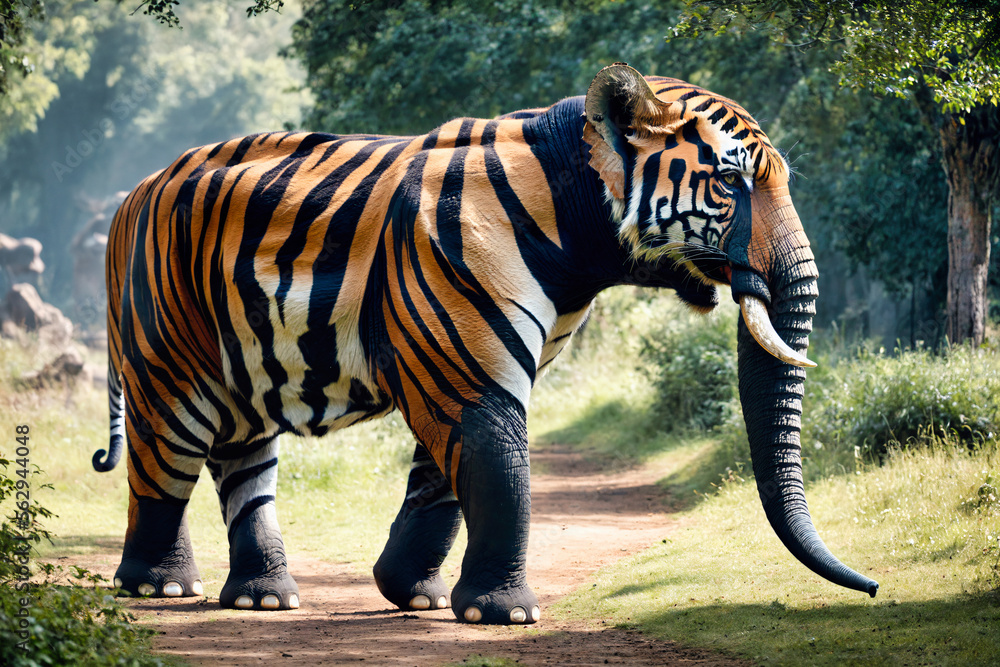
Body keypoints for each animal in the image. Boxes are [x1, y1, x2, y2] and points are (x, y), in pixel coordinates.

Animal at [93, 62, 877, 627]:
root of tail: (134, 193)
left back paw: (264, 598)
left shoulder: (453, 351)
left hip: (242, 363)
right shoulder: (461, 348)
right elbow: (496, 456)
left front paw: (417, 595)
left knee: (246, 462)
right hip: (166, 354)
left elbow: (446, 473)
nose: (869, 588)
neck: (570, 196)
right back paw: (161, 588)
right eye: (730, 183)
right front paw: (504, 614)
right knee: (168, 455)